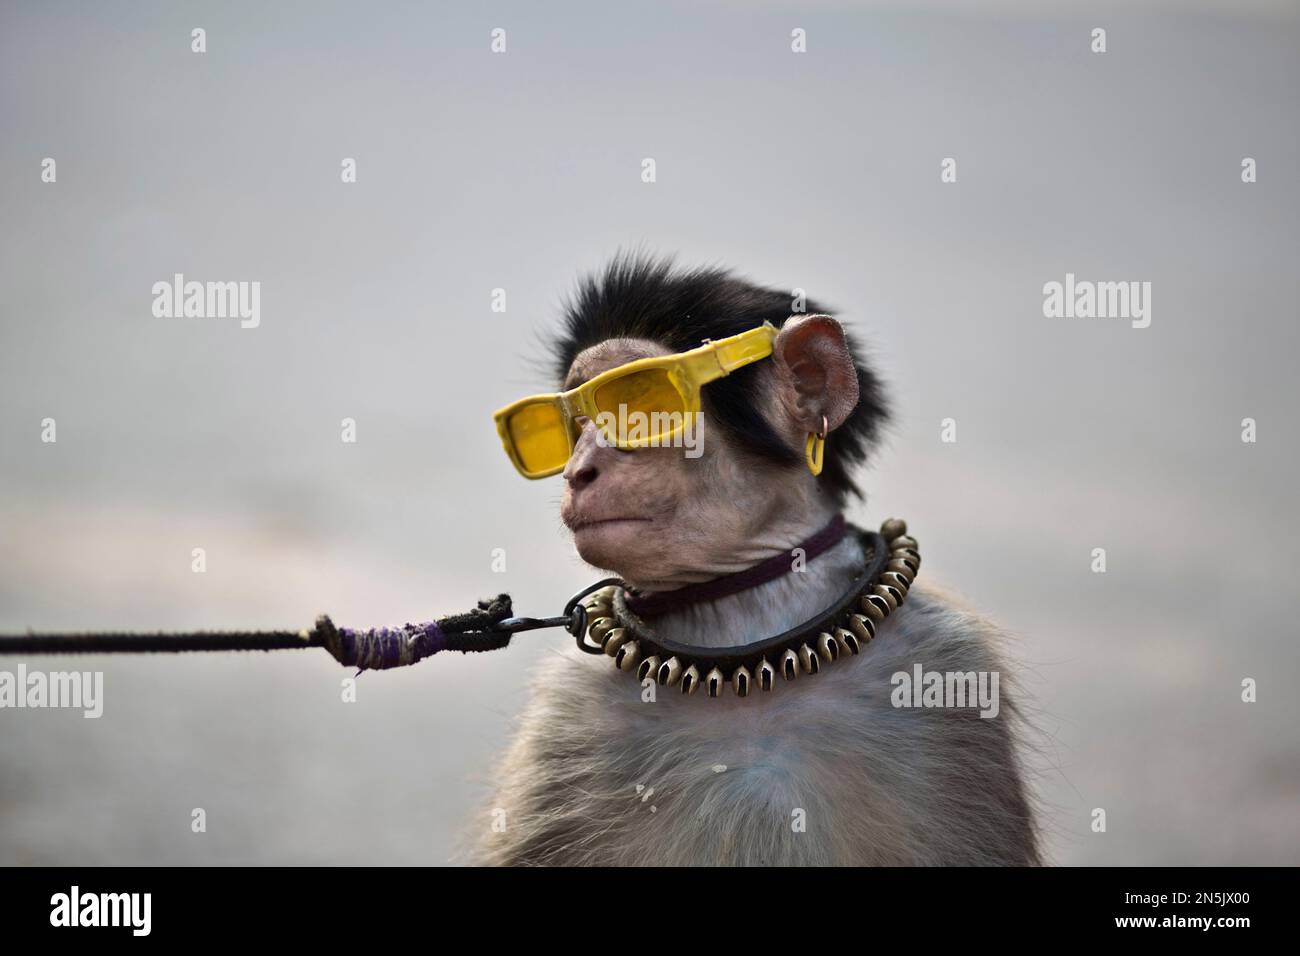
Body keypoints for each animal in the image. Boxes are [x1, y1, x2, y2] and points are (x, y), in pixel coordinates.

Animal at [477, 254, 1041, 866]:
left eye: (636, 398)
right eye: (569, 426)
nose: (577, 472)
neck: (743, 628)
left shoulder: (949, 675)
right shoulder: (566, 717)